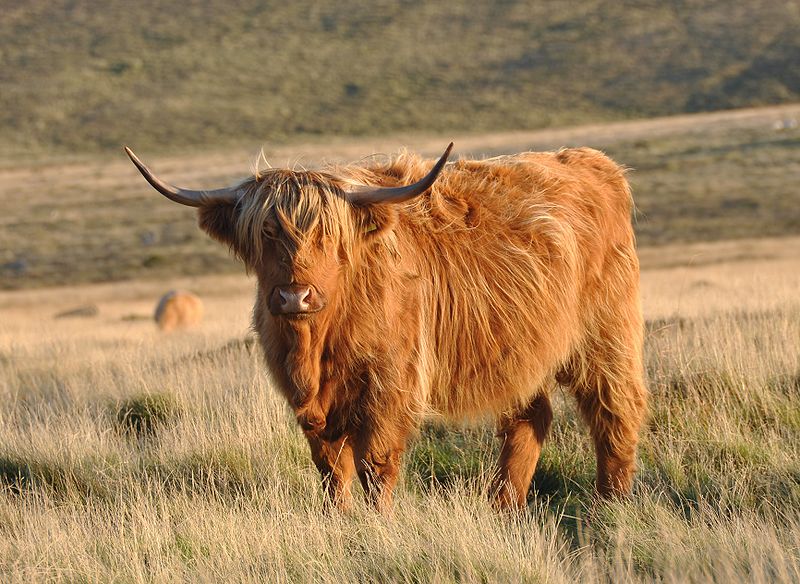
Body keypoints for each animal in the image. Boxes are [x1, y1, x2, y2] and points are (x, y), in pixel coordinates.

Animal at [125, 143, 648, 511]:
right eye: (267, 232)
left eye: (326, 234)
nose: (295, 296)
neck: (316, 346)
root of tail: (594, 163)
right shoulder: (309, 402)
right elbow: (330, 467)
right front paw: (336, 521)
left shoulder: (390, 384)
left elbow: (374, 464)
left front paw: (379, 524)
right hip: (520, 348)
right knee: (528, 419)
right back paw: (504, 506)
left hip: (606, 335)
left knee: (615, 411)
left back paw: (611, 505)